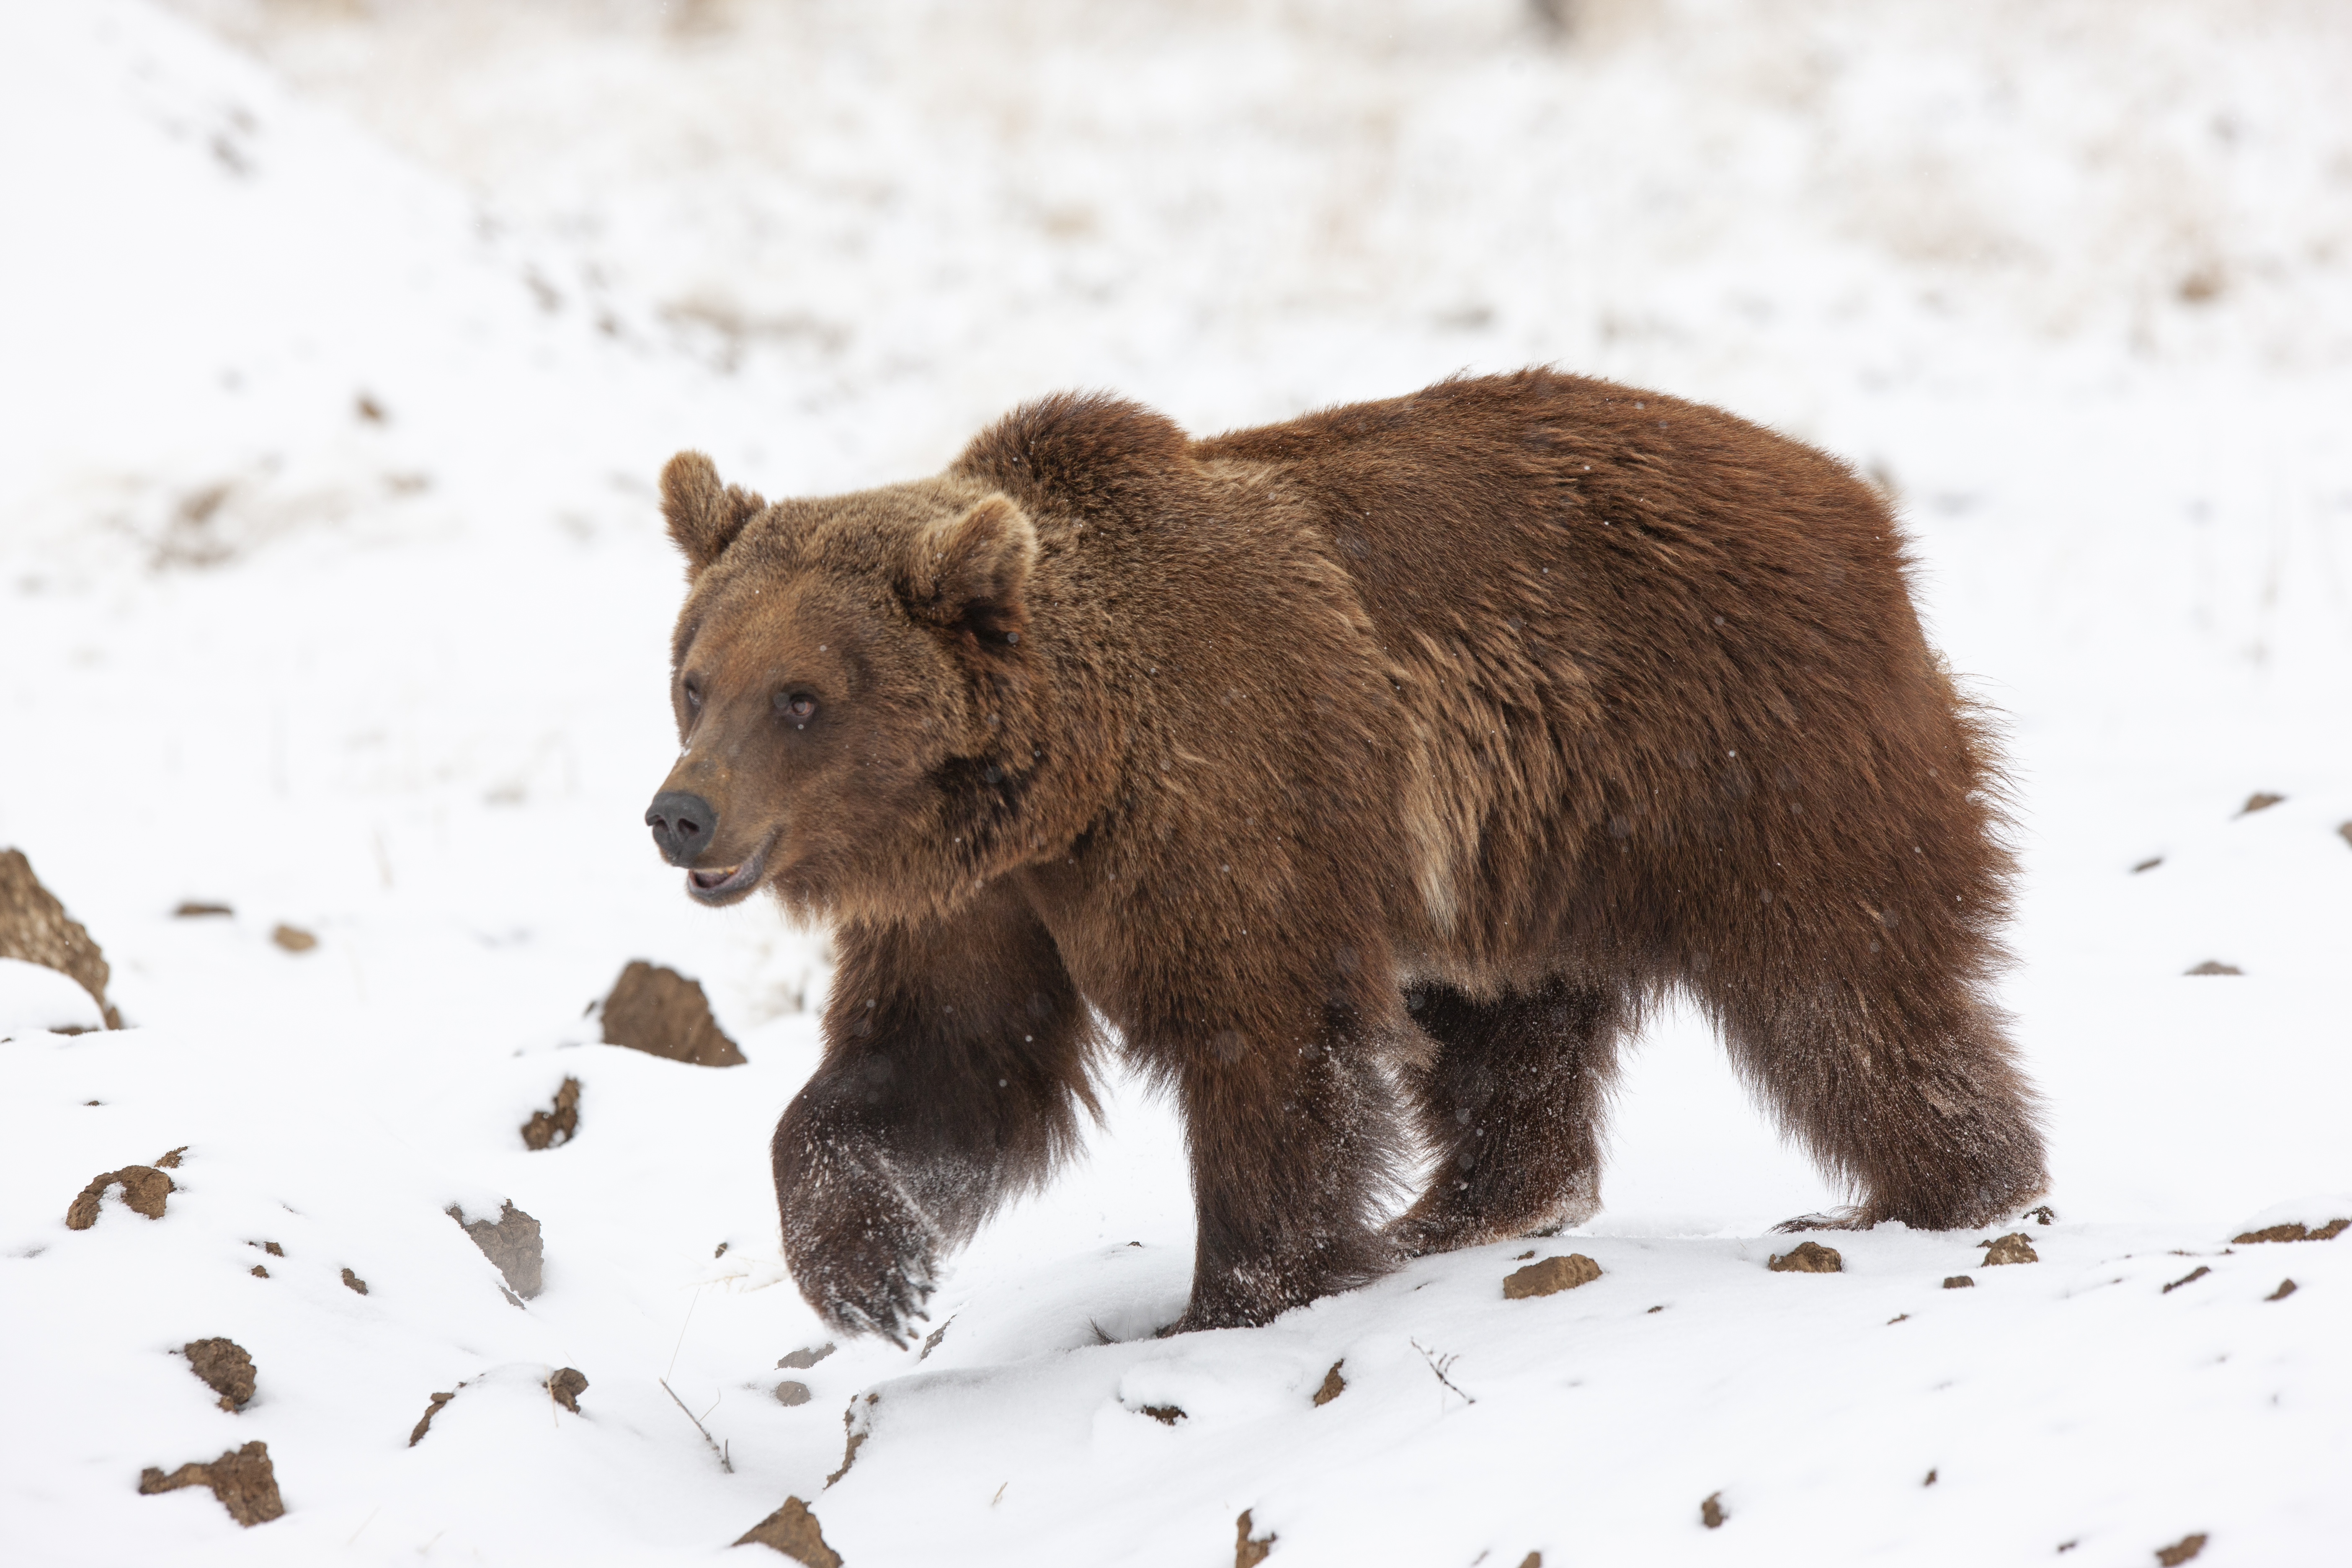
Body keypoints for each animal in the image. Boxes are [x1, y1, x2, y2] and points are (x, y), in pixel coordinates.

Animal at [644, 368, 2048, 1341]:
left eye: (801, 697)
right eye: (696, 680)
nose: (680, 816)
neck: (1068, 774)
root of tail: (1859, 508)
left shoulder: (1228, 803)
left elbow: (1266, 1044)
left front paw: (1241, 1294)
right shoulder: (982, 901)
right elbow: (942, 1064)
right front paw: (875, 1278)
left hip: (1743, 757)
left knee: (1842, 990)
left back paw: (1936, 1193)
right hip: (1520, 846)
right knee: (1509, 1026)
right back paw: (1459, 1212)